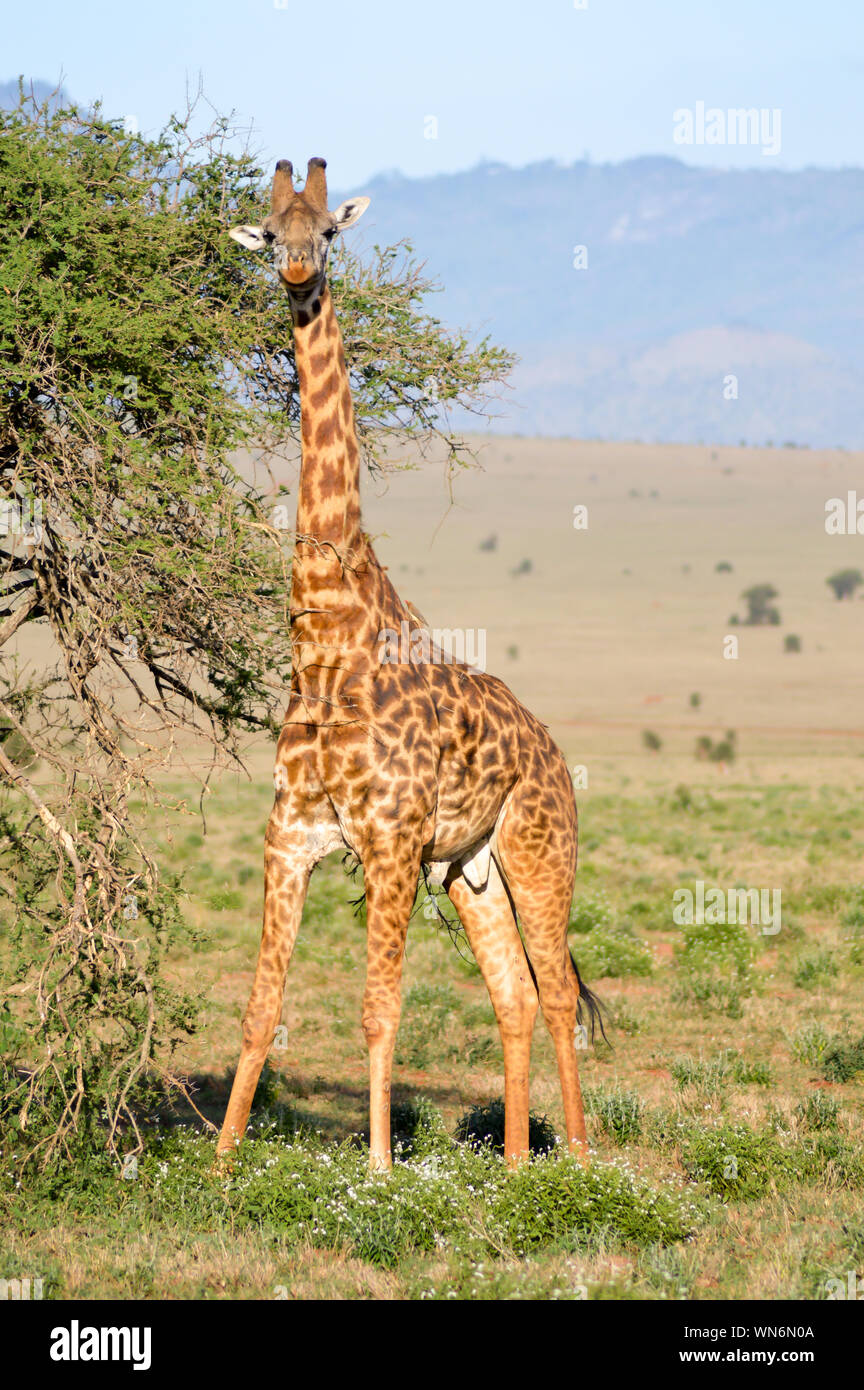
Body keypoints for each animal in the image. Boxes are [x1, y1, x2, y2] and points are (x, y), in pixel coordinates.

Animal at [216, 157, 603, 1170]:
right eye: (269, 232)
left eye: (329, 232)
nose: (298, 272)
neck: (326, 638)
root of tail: (553, 752)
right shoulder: (292, 838)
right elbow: (260, 1009)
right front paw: (221, 1165)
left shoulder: (389, 842)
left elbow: (377, 1012)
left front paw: (383, 1171)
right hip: (470, 870)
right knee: (513, 995)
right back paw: (515, 1167)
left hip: (539, 850)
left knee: (556, 994)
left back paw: (583, 1166)